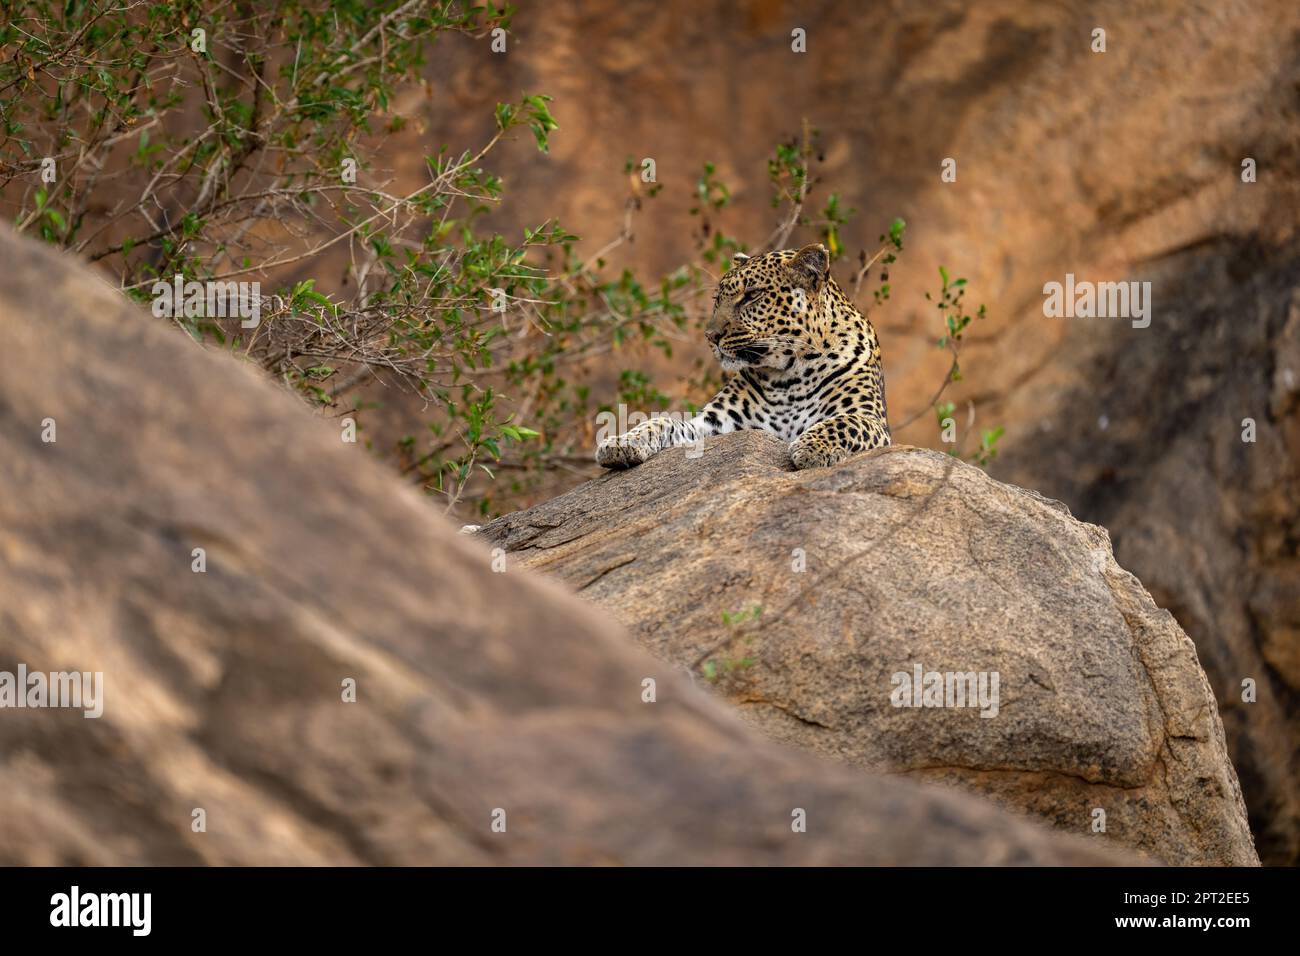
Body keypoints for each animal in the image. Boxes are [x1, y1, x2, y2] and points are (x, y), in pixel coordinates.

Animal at [595, 242, 891, 471]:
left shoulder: (874, 422)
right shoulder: (714, 426)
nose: (710, 335)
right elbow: (663, 421)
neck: (788, 377)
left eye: (751, 296)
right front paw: (621, 442)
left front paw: (811, 447)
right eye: (717, 299)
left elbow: (845, 422)